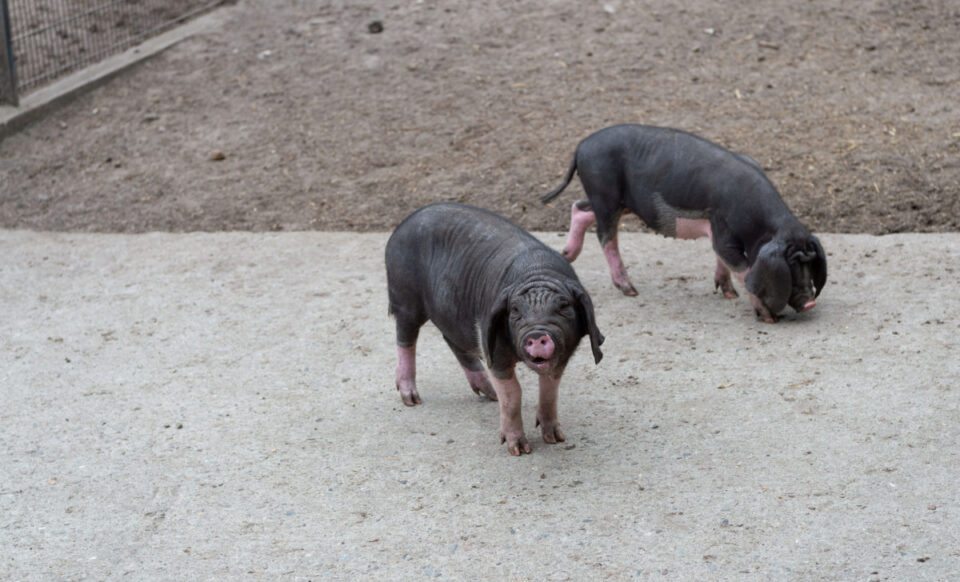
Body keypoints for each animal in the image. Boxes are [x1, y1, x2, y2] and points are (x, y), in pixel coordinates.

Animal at [385, 202, 604, 455]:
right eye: (515, 310)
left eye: (563, 306)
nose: (536, 334)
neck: (537, 271)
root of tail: (401, 227)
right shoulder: (493, 345)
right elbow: (513, 395)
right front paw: (519, 450)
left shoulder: (560, 357)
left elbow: (550, 390)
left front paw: (556, 439)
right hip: (405, 296)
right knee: (405, 338)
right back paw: (412, 399)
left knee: (452, 341)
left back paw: (489, 394)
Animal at [541, 124, 827, 322]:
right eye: (790, 264)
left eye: (810, 262)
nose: (811, 303)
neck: (762, 225)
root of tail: (581, 146)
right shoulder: (723, 231)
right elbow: (742, 268)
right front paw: (769, 317)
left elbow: (722, 260)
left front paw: (729, 294)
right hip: (605, 194)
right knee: (606, 236)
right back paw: (630, 290)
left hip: (616, 202)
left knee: (580, 209)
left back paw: (567, 255)